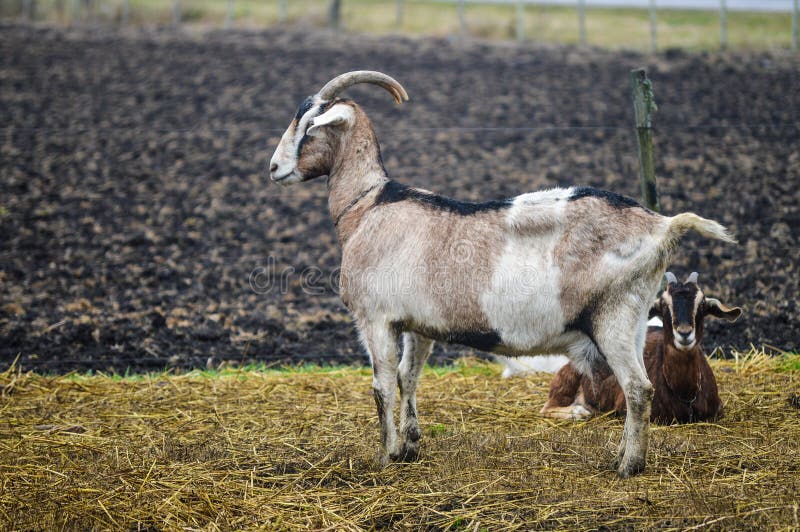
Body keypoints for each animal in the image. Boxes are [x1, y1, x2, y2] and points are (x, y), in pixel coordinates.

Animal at [541, 272, 742, 423]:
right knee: (547, 408)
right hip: (569, 376)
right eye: (663, 304)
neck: (686, 393)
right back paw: (578, 412)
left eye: (702, 304)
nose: (684, 333)